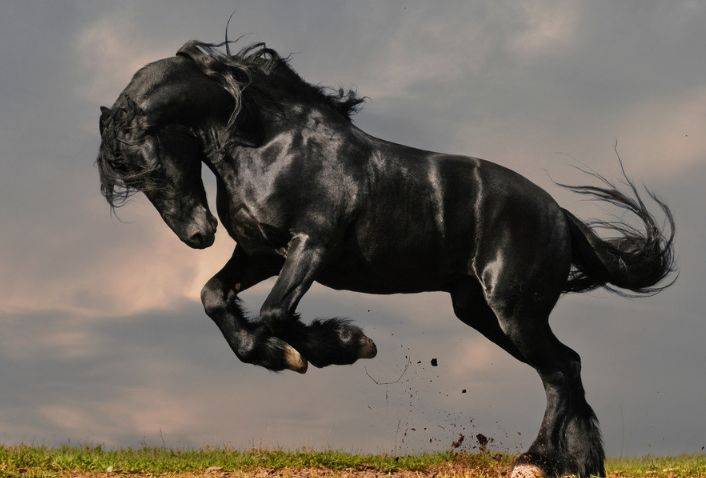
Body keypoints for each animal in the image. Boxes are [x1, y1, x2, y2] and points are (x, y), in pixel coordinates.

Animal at [96, 37, 675, 478]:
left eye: (150, 165)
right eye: (130, 178)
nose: (198, 235)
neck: (271, 144)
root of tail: (559, 215)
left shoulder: (311, 246)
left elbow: (275, 312)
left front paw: (342, 345)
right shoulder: (260, 252)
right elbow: (214, 297)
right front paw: (279, 354)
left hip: (515, 311)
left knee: (558, 371)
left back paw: (533, 462)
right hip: (481, 312)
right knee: (568, 366)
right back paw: (579, 464)